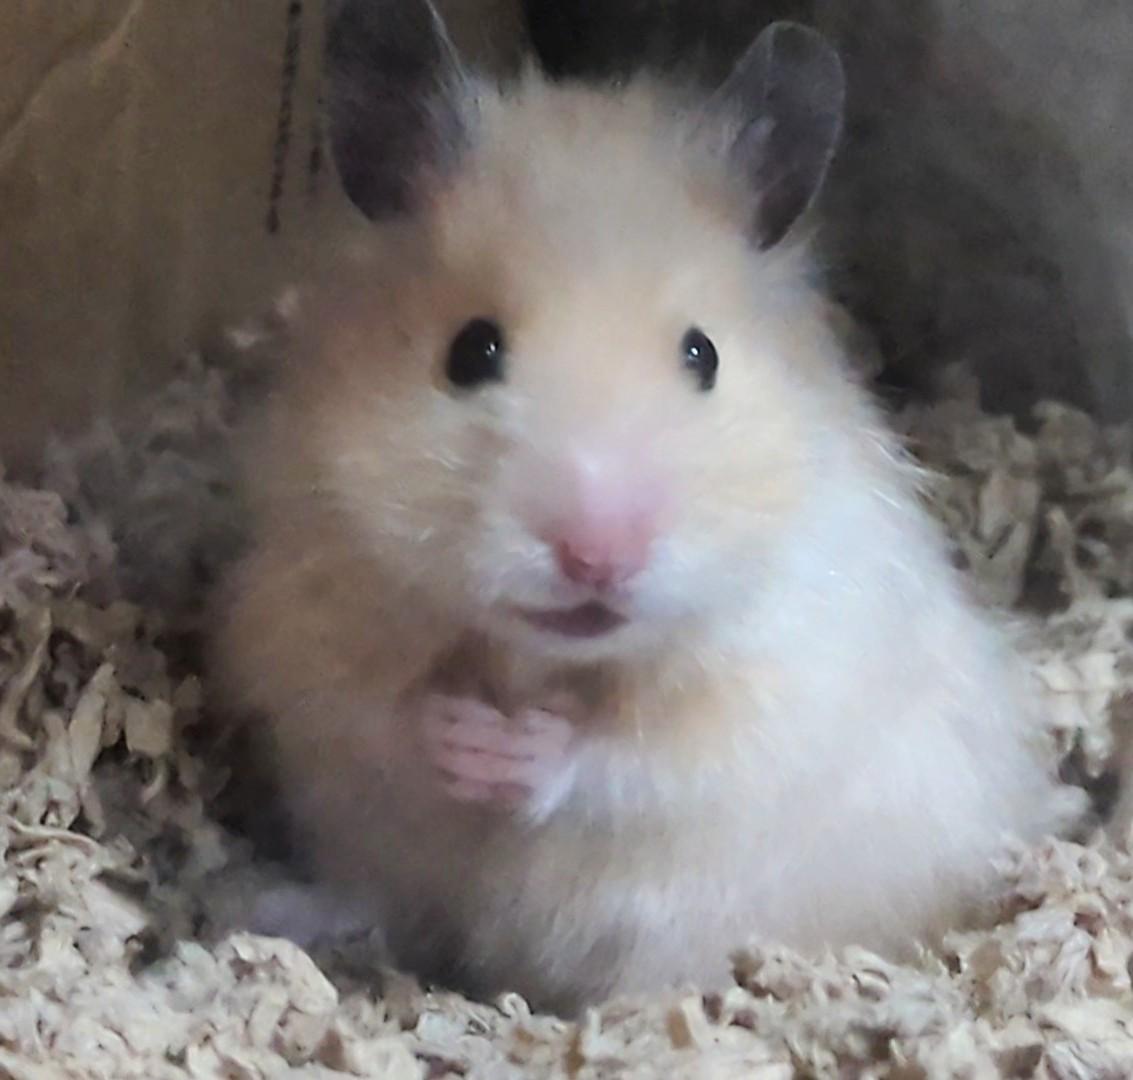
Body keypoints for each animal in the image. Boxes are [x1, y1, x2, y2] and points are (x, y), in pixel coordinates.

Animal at [210, 0, 1084, 1015]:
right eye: (471, 351)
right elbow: (380, 710)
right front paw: (462, 736)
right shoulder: (306, 614)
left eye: (702, 355)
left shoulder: (771, 678)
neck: (547, 662)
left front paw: (511, 754)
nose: (598, 556)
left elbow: (635, 761)